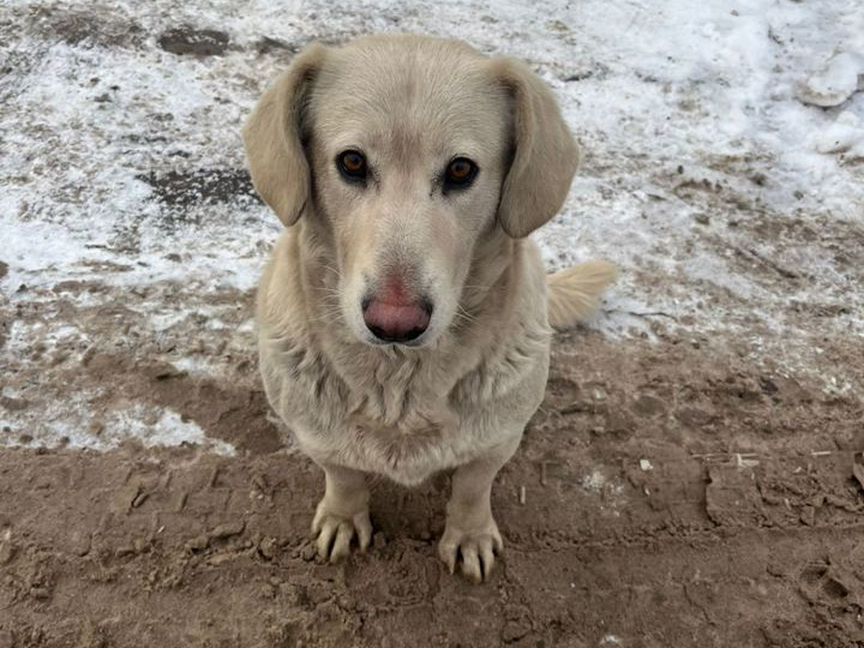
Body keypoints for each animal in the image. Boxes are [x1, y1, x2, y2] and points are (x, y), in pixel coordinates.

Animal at [243, 34, 616, 584]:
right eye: (351, 163)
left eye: (461, 170)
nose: (395, 323)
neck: (400, 384)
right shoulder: (319, 436)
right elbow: (344, 476)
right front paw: (343, 517)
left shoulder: (494, 443)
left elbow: (472, 489)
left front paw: (469, 535)